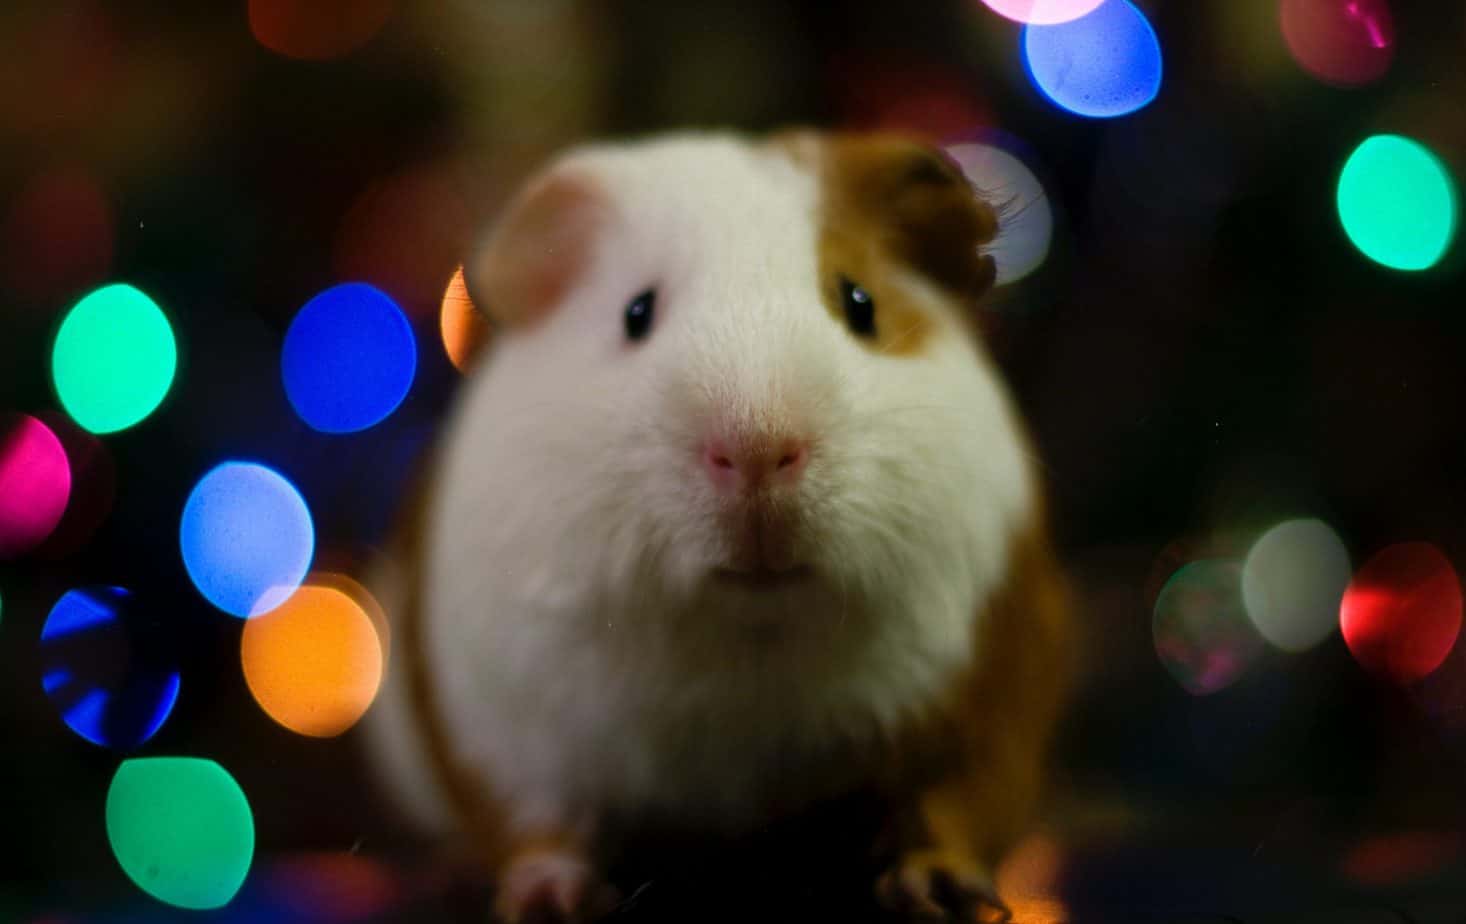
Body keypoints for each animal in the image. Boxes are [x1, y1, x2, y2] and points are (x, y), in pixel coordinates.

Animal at [363, 130, 1074, 923]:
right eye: (635, 313)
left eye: (860, 303)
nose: (759, 448)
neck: (747, 642)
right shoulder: (497, 732)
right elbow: (537, 827)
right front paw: (553, 900)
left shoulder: (992, 693)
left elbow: (955, 807)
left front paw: (940, 892)